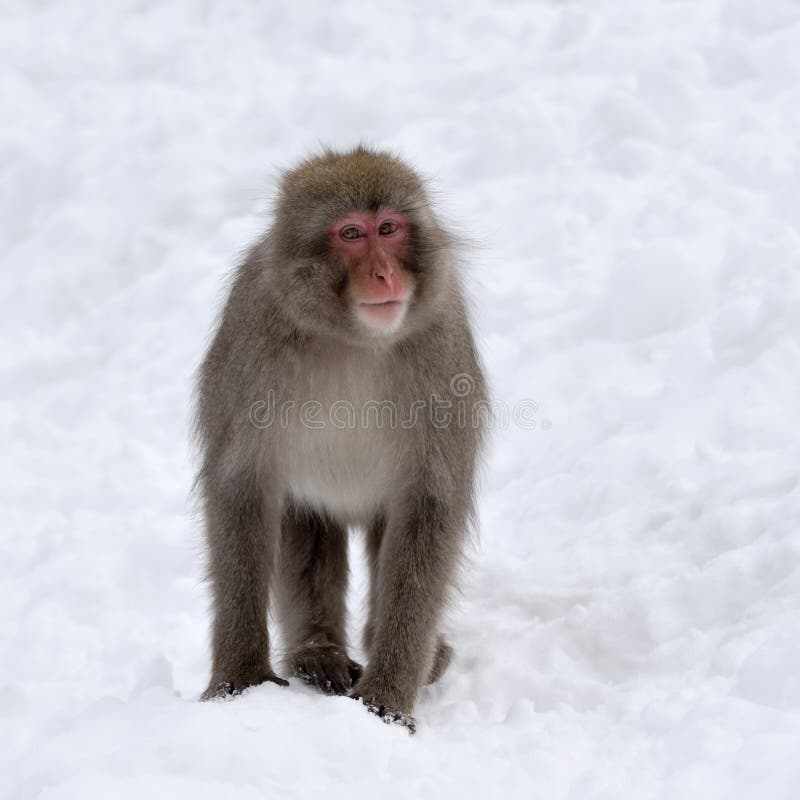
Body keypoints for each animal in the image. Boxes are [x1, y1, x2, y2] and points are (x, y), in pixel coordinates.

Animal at [195, 145, 486, 733]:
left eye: (390, 229)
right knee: (305, 518)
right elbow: (241, 489)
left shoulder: (441, 350)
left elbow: (429, 506)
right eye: (351, 233)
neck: (352, 341)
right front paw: (239, 677)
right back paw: (317, 653)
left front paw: (386, 701)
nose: (384, 272)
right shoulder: (251, 340)